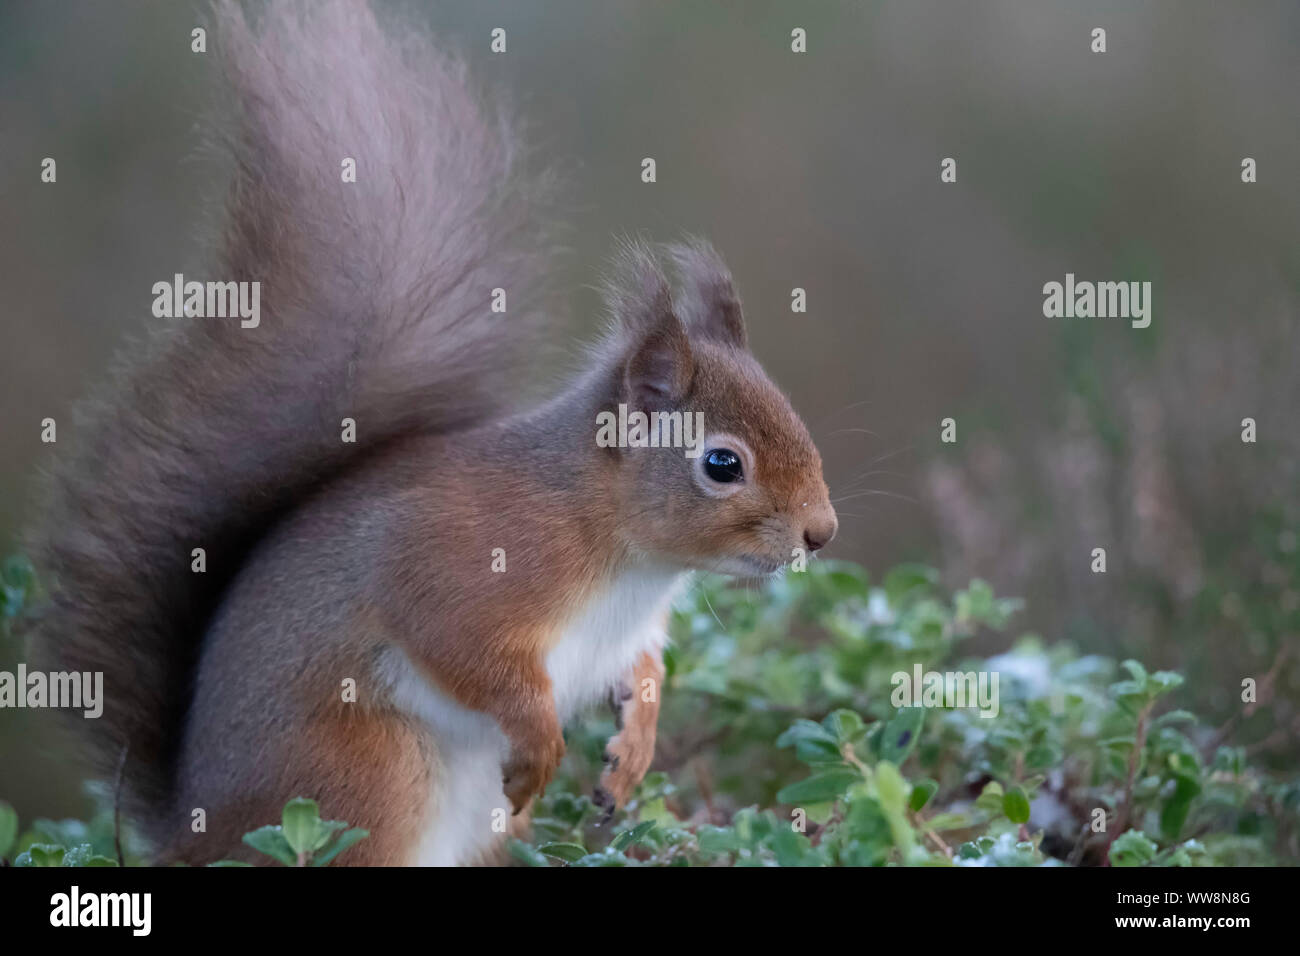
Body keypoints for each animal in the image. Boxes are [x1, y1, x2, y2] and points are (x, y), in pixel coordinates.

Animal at [29, 0, 837, 866]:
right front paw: (543, 746)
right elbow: (470, 652)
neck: (624, 552)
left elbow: (645, 670)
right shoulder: (459, 568)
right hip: (364, 780)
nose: (821, 533)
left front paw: (633, 749)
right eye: (721, 464)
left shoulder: (632, 632)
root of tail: (191, 828)